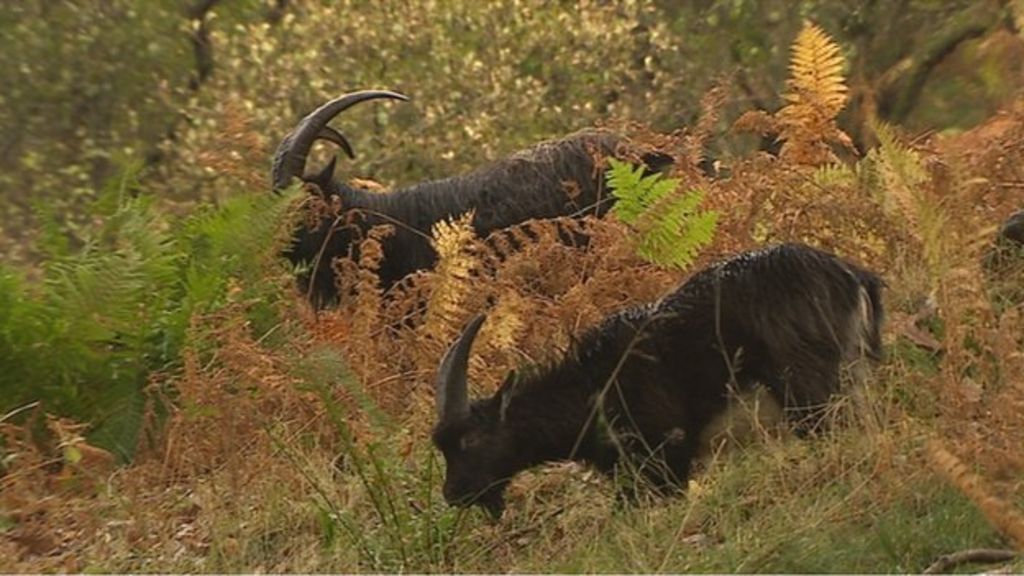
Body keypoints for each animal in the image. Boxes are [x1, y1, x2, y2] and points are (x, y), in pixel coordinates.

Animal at [432, 243, 884, 518]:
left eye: (470, 439)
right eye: (442, 447)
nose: (453, 494)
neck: (592, 387)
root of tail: (851, 275)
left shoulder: (665, 457)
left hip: (810, 389)